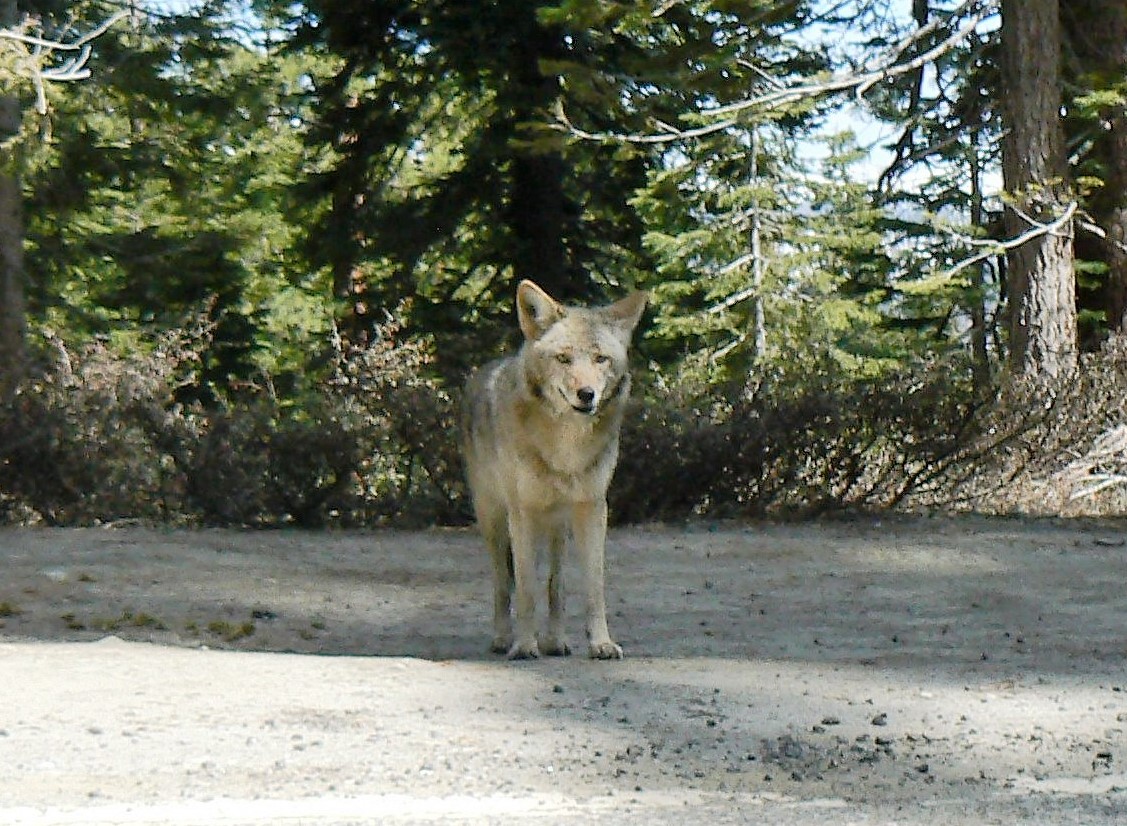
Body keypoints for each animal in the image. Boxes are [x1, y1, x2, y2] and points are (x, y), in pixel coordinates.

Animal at [461, 280, 647, 660]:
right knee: (502, 581)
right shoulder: (522, 512)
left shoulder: (593, 508)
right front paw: (523, 645)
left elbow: (591, 587)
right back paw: (503, 638)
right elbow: (525, 588)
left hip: (558, 526)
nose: (587, 394)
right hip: (493, 518)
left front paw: (601, 643)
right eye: (563, 358)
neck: (566, 447)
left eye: (600, 358)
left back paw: (556, 641)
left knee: (556, 584)